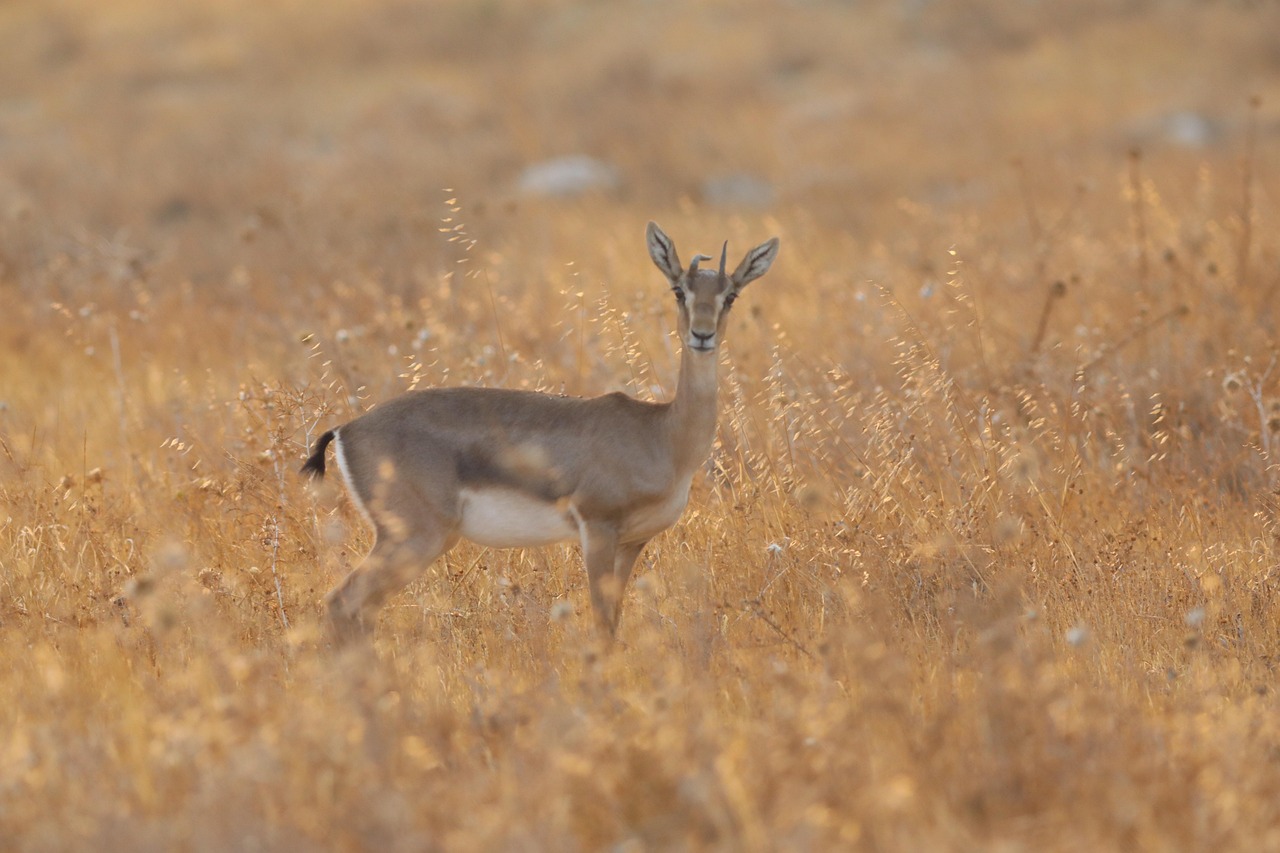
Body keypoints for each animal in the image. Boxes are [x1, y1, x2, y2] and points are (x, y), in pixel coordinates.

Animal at [301, 222, 780, 644]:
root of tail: (347, 429)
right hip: (415, 537)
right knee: (342, 603)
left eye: (731, 295)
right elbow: (602, 624)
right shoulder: (597, 528)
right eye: (679, 290)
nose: (702, 335)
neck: (663, 434)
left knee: (359, 611)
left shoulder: (633, 542)